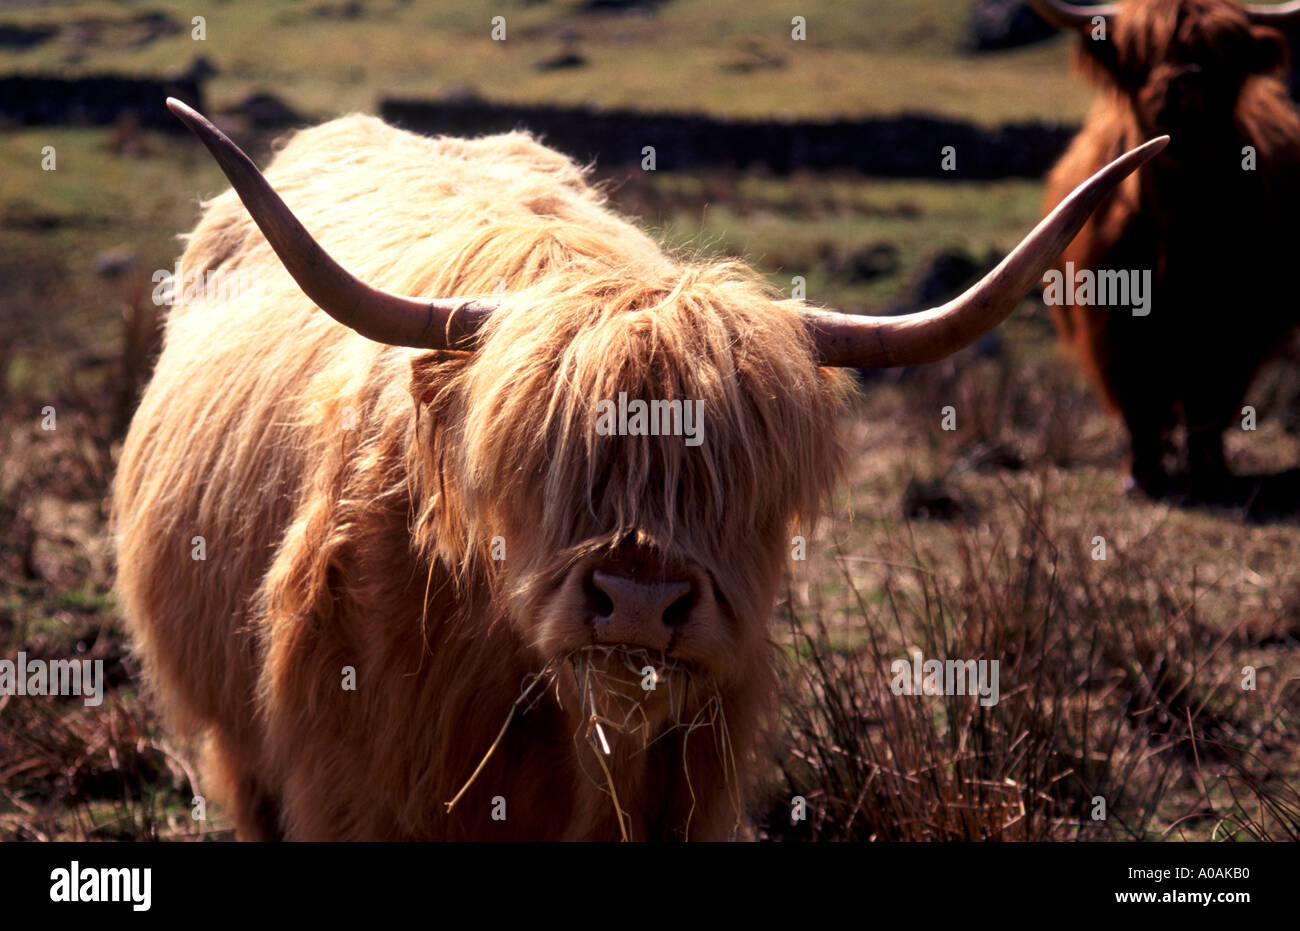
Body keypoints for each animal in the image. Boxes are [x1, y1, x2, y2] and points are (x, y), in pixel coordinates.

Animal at [1031, 0, 1300, 499]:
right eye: (1143, 52)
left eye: (1221, 51)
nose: (1183, 79)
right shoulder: (1113, 325)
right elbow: (1140, 400)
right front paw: (1142, 476)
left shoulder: (1238, 326)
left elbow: (1210, 400)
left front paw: (1210, 475)